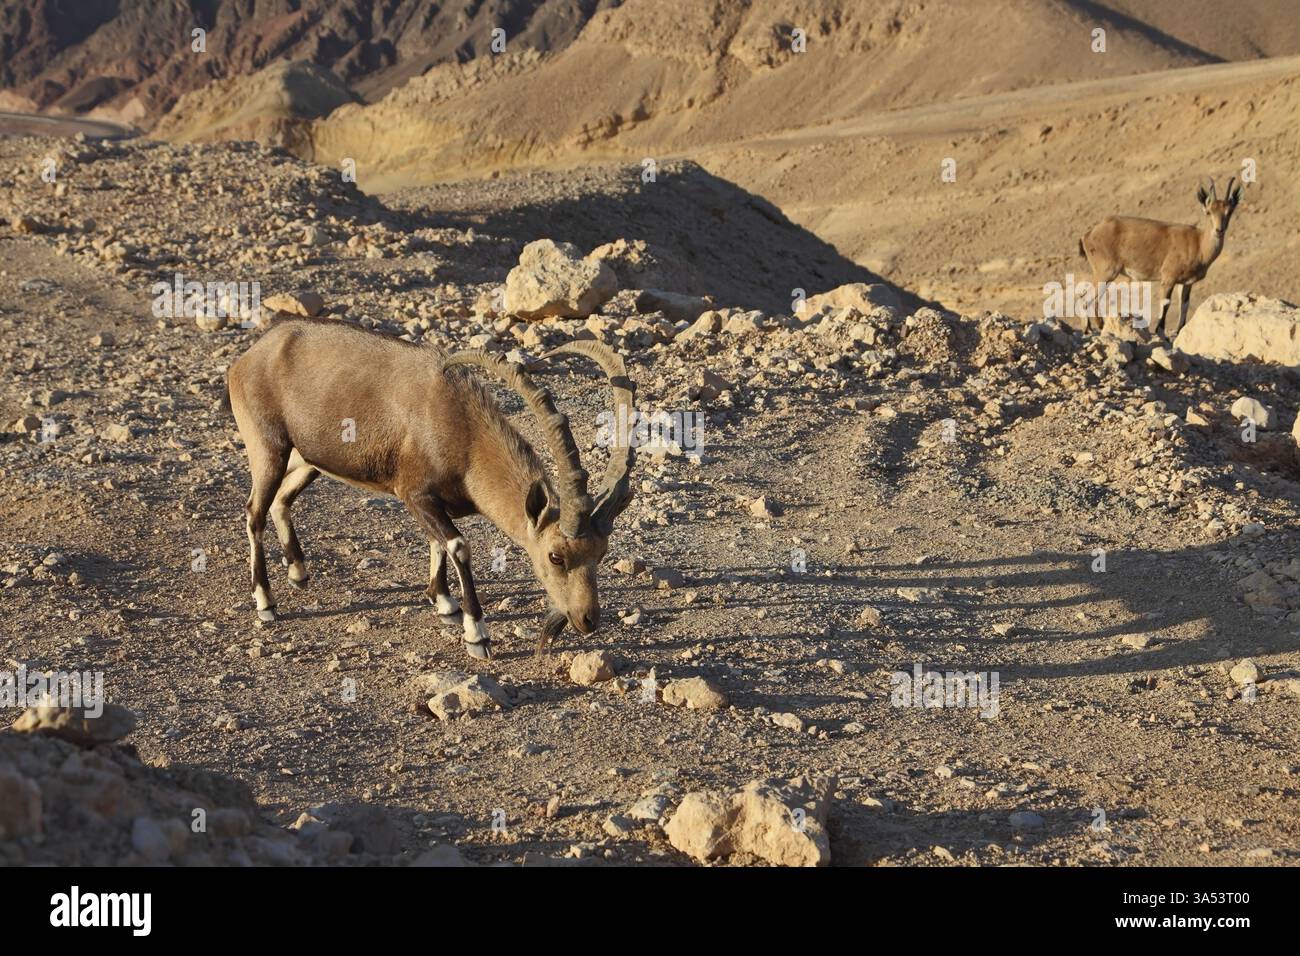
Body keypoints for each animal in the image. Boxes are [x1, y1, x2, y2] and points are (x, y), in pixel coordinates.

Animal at [225, 319, 636, 659]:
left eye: (601, 553)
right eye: (555, 556)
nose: (587, 620)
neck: (464, 433)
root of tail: (250, 357)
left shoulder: (433, 504)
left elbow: (437, 542)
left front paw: (443, 601)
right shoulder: (415, 494)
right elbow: (457, 545)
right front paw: (476, 634)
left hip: (308, 459)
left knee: (281, 499)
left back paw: (298, 571)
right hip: (267, 447)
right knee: (254, 511)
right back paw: (265, 600)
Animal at [1079, 175, 1242, 337]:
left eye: (1229, 212)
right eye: (1208, 212)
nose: (1219, 230)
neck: (1199, 244)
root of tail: (1088, 234)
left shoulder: (1186, 283)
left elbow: (1184, 305)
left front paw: (1178, 331)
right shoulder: (1168, 277)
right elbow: (1165, 304)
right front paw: (1161, 333)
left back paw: (1091, 327)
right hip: (1106, 271)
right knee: (1088, 297)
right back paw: (1093, 327)